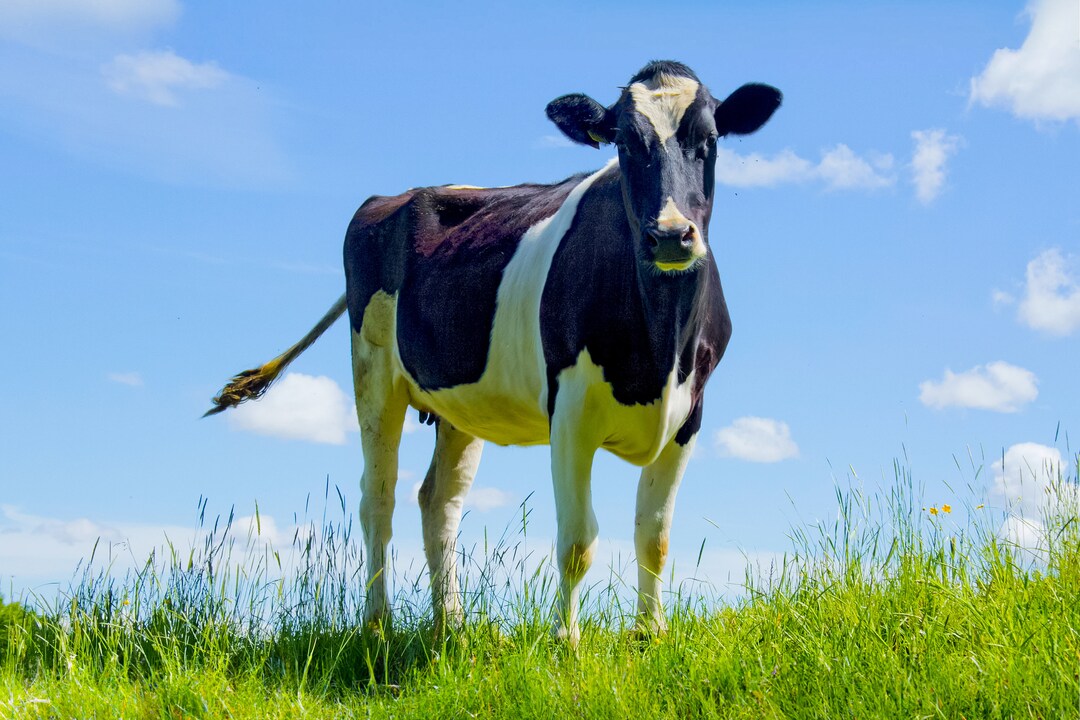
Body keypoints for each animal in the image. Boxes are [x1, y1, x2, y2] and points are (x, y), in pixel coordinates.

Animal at [206, 60, 781, 645]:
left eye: (709, 140)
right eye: (622, 141)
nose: (668, 235)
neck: (659, 349)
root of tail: (393, 197)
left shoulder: (690, 414)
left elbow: (655, 535)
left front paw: (651, 634)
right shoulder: (569, 410)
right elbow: (578, 540)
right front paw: (567, 643)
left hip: (459, 408)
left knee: (438, 502)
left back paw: (452, 628)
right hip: (373, 371)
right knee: (378, 498)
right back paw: (377, 626)